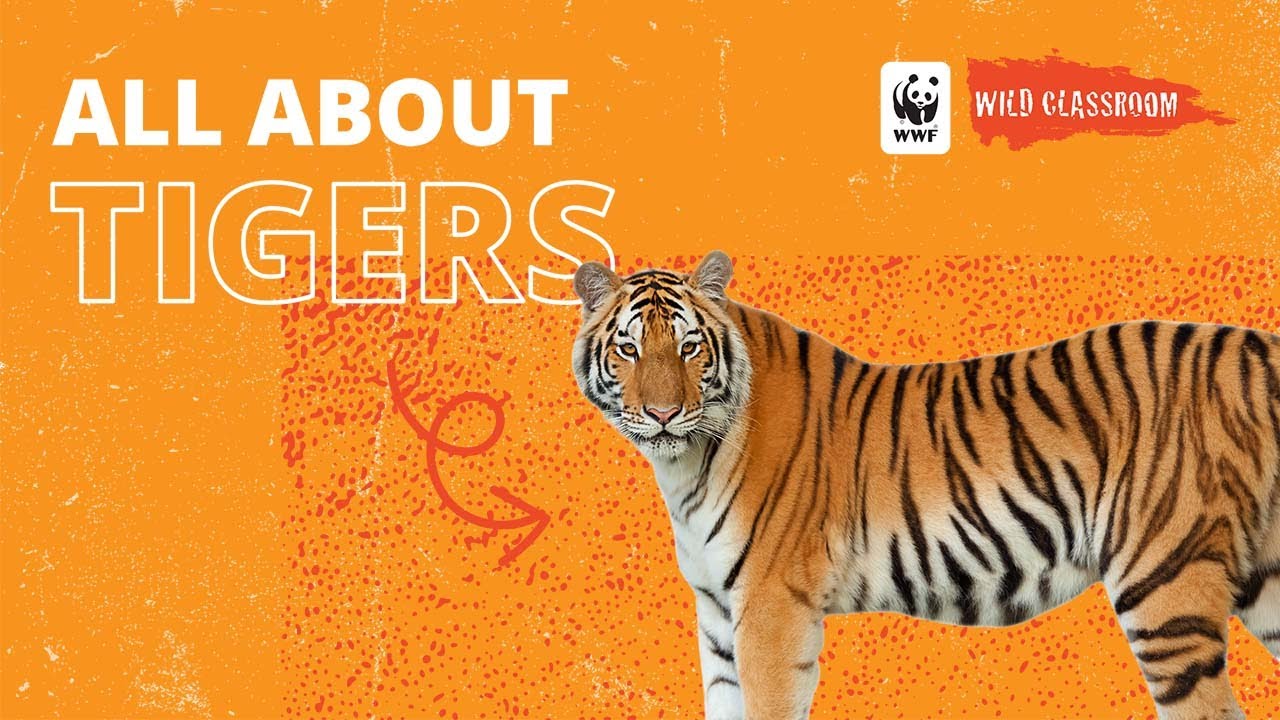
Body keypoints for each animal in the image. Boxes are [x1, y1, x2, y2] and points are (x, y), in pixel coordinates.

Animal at [570, 251, 1280, 720]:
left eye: (689, 347)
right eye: (629, 350)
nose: (663, 413)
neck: (684, 466)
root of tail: (1252, 348)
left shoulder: (772, 609)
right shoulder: (719, 615)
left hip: (1165, 584)